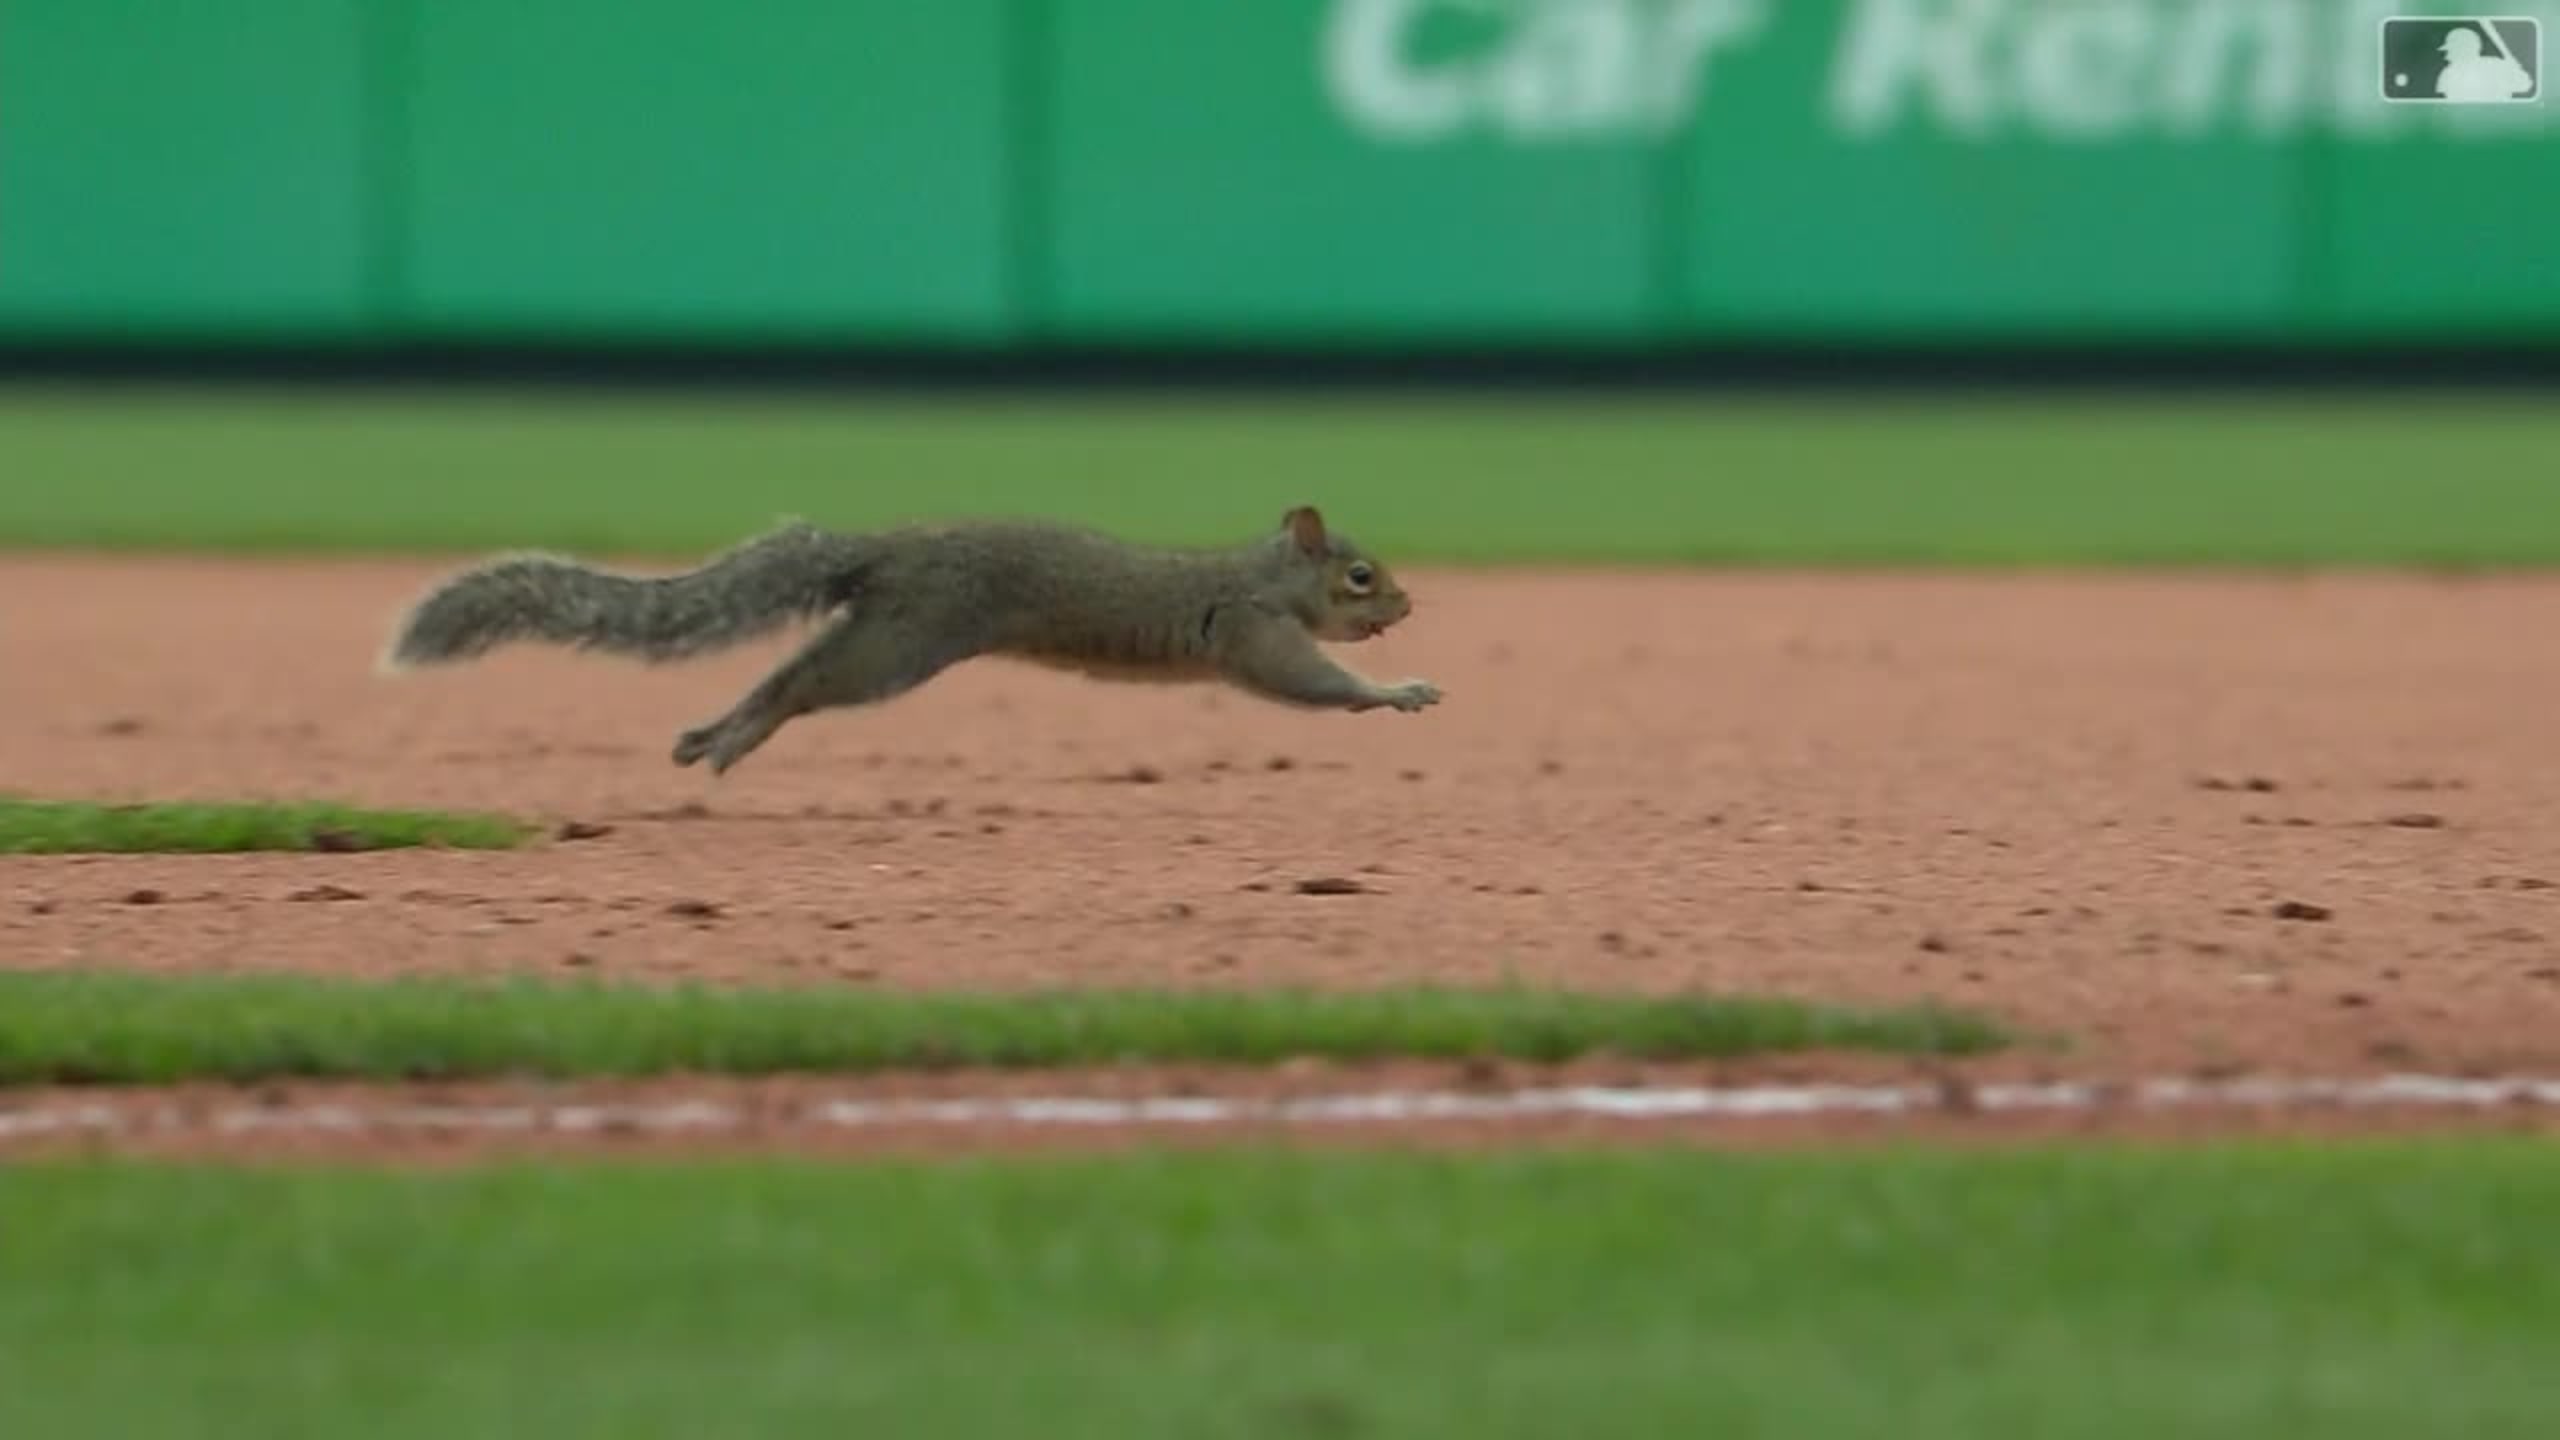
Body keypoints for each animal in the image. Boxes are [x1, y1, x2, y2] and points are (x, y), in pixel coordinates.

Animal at [379, 505, 1441, 776]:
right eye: (1358, 576)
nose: (1406, 605)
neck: (1262, 575)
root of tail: (884, 550)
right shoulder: (1255, 633)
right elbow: (1310, 681)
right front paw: (1396, 694)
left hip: (885, 634)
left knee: (789, 672)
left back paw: (711, 737)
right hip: (898, 647)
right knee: (799, 683)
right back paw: (728, 739)